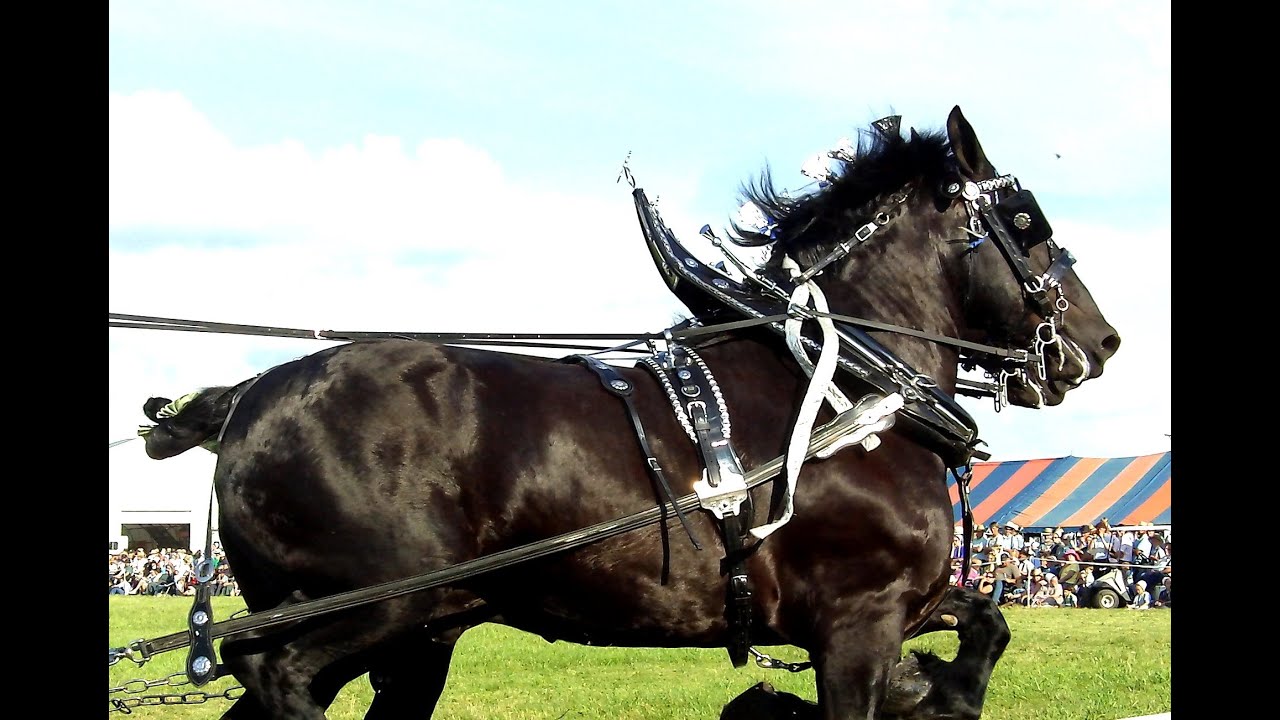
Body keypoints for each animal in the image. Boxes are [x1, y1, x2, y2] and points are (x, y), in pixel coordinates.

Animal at [136, 105, 1120, 719]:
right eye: (1027, 223)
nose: (1101, 341)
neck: (847, 392)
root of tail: (246, 396)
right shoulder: (857, 624)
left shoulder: (901, 609)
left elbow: (987, 623)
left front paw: (934, 688)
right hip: (375, 609)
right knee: (274, 671)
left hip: (415, 633)